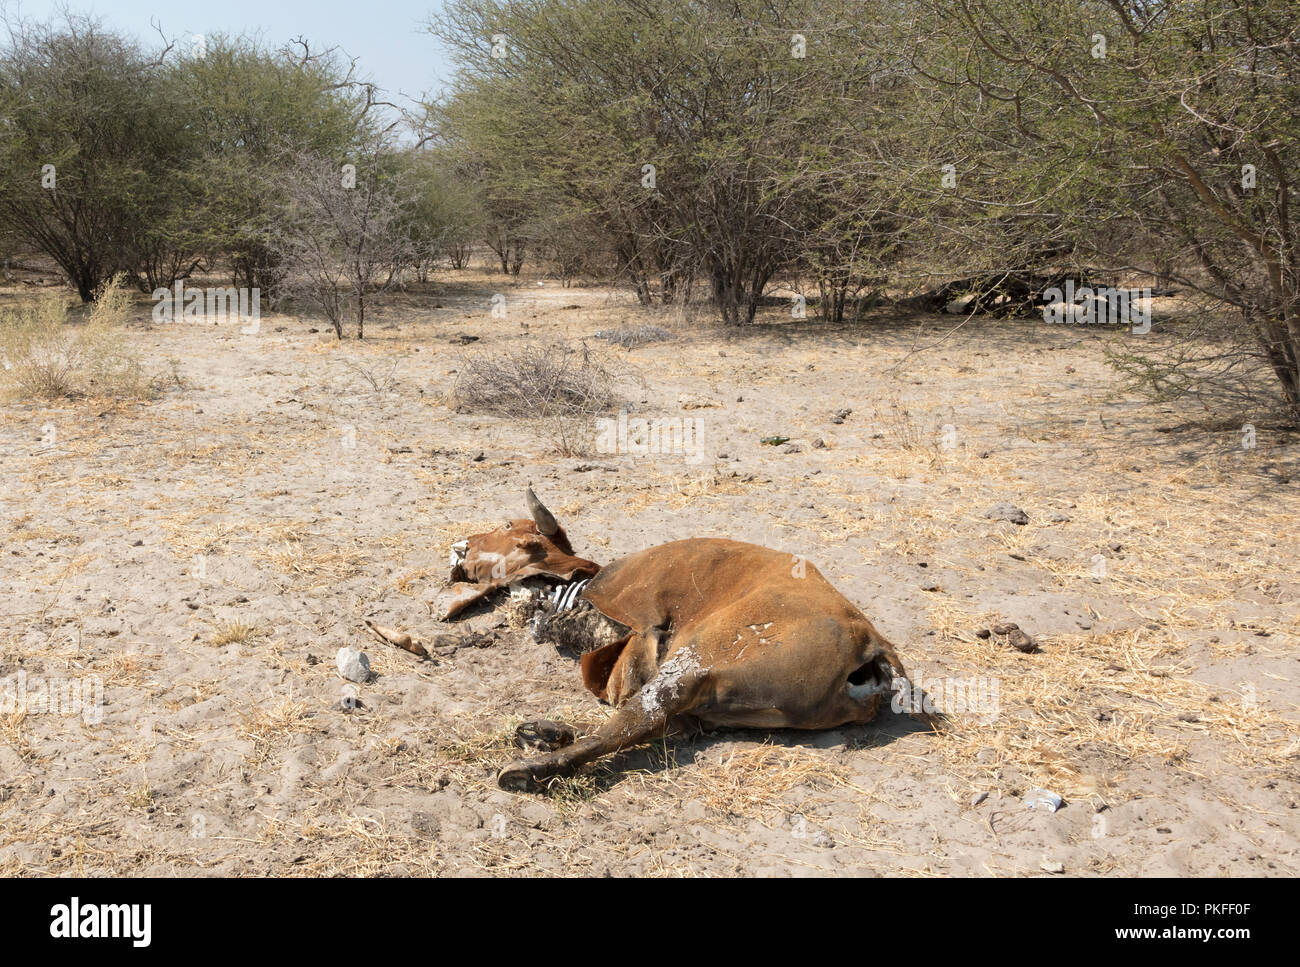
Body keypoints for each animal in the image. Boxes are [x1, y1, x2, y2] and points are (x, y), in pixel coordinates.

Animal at [444, 487, 926, 791]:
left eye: (507, 524)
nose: (460, 543)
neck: (582, 590)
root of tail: (872, 644)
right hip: (717, 704)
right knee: (650, 725)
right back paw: (544, 734)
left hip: (694, 665)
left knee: (635, 720)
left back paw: (533, 767)